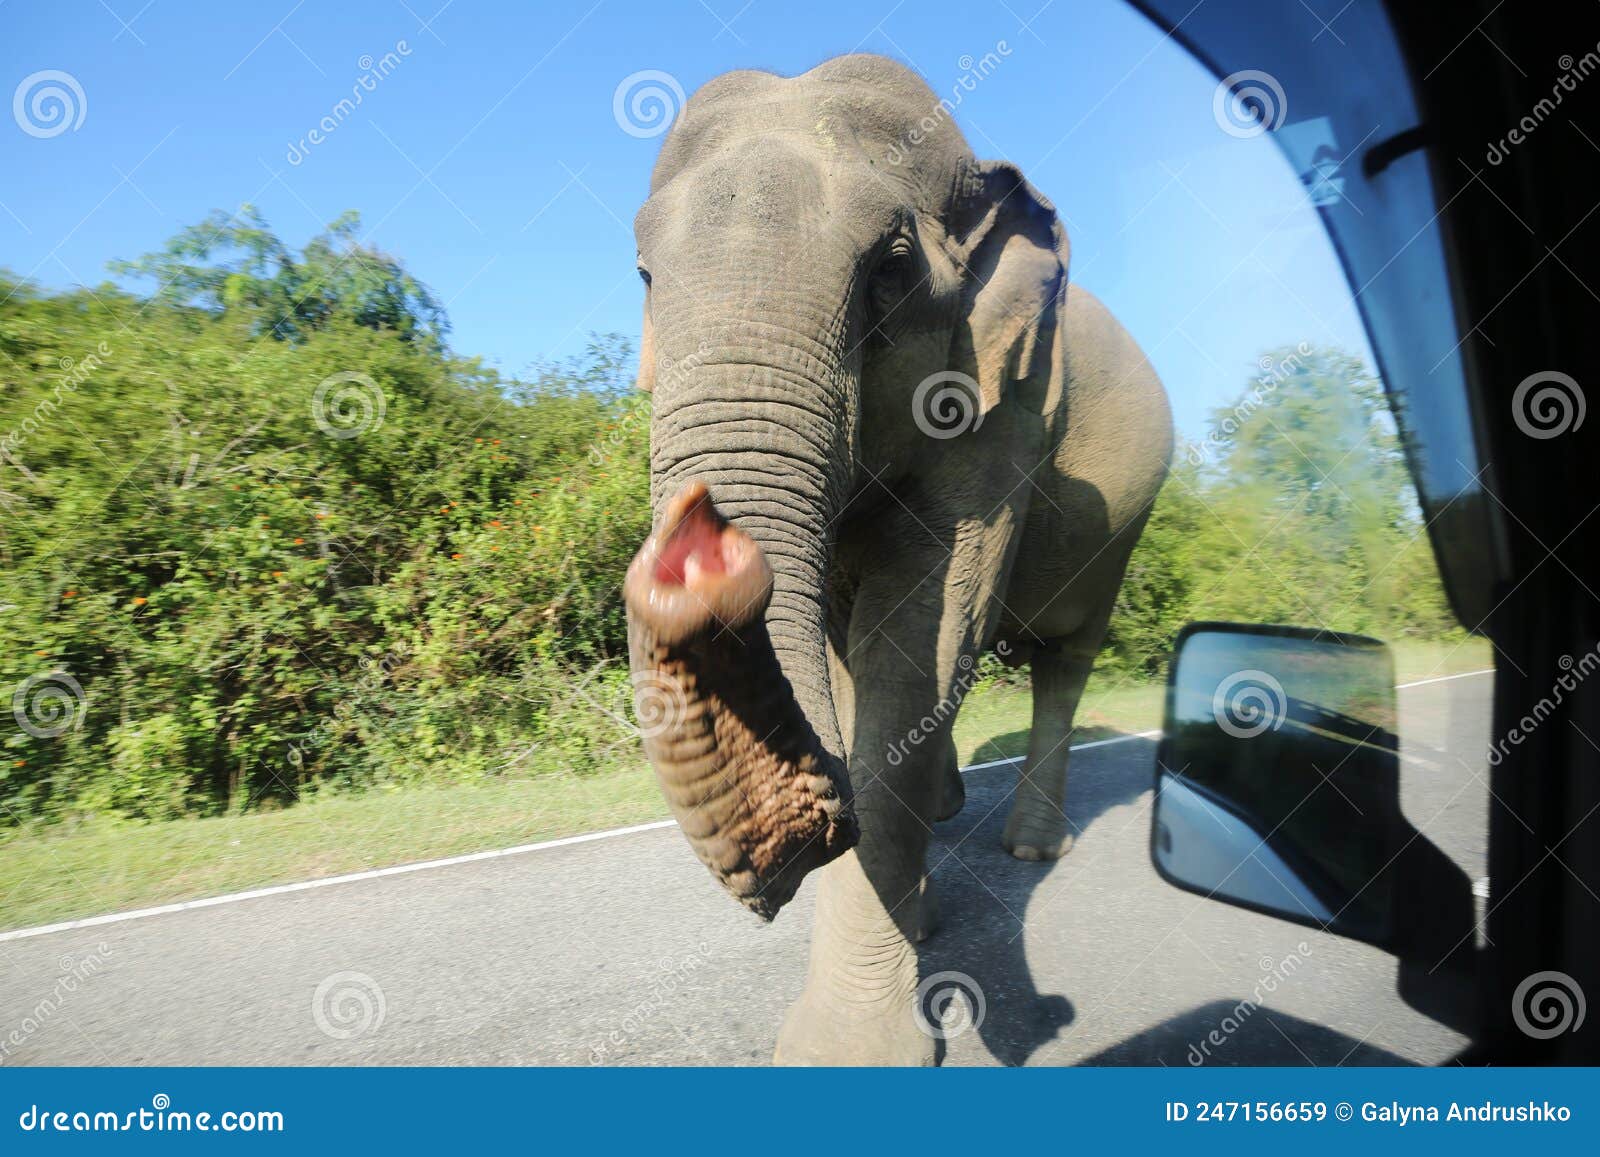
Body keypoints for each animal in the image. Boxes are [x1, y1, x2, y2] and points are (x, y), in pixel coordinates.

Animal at [622, 54, 1172, 1065]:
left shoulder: (1006, 409)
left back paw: (1031, 850)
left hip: (1128, 522)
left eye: (891, 270)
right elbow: (861, 671)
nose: (699, 541)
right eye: (643, 273)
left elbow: (914, 659)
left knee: (1064, 660)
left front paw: (848, 1051)